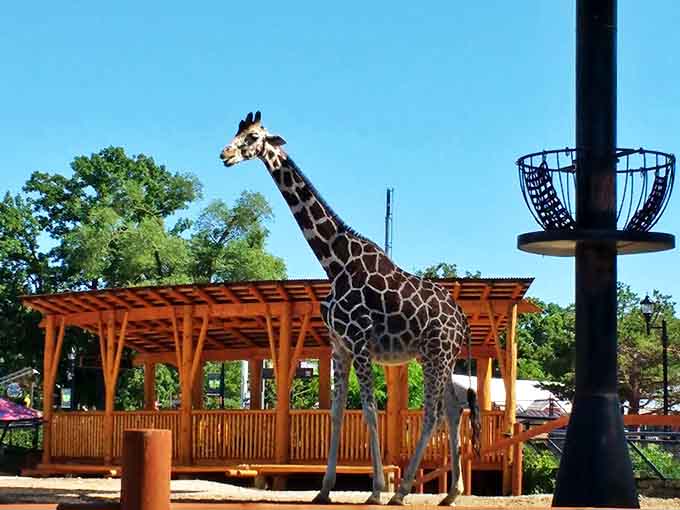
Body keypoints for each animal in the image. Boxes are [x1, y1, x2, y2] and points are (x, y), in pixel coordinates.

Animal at [220, 112, 481, 506]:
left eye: (252, 137)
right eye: (236, 132)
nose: (225, 155)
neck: (334, 261)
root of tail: (461, 318)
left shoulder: (359, 342)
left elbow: (370, 412)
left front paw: (376, 489)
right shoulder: (339, 346)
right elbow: (337, 414)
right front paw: (324, 489)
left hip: (437, 354)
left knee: (433, 414)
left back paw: (401, 490)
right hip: (438, 357)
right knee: (452, 410)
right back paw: (451, 494)